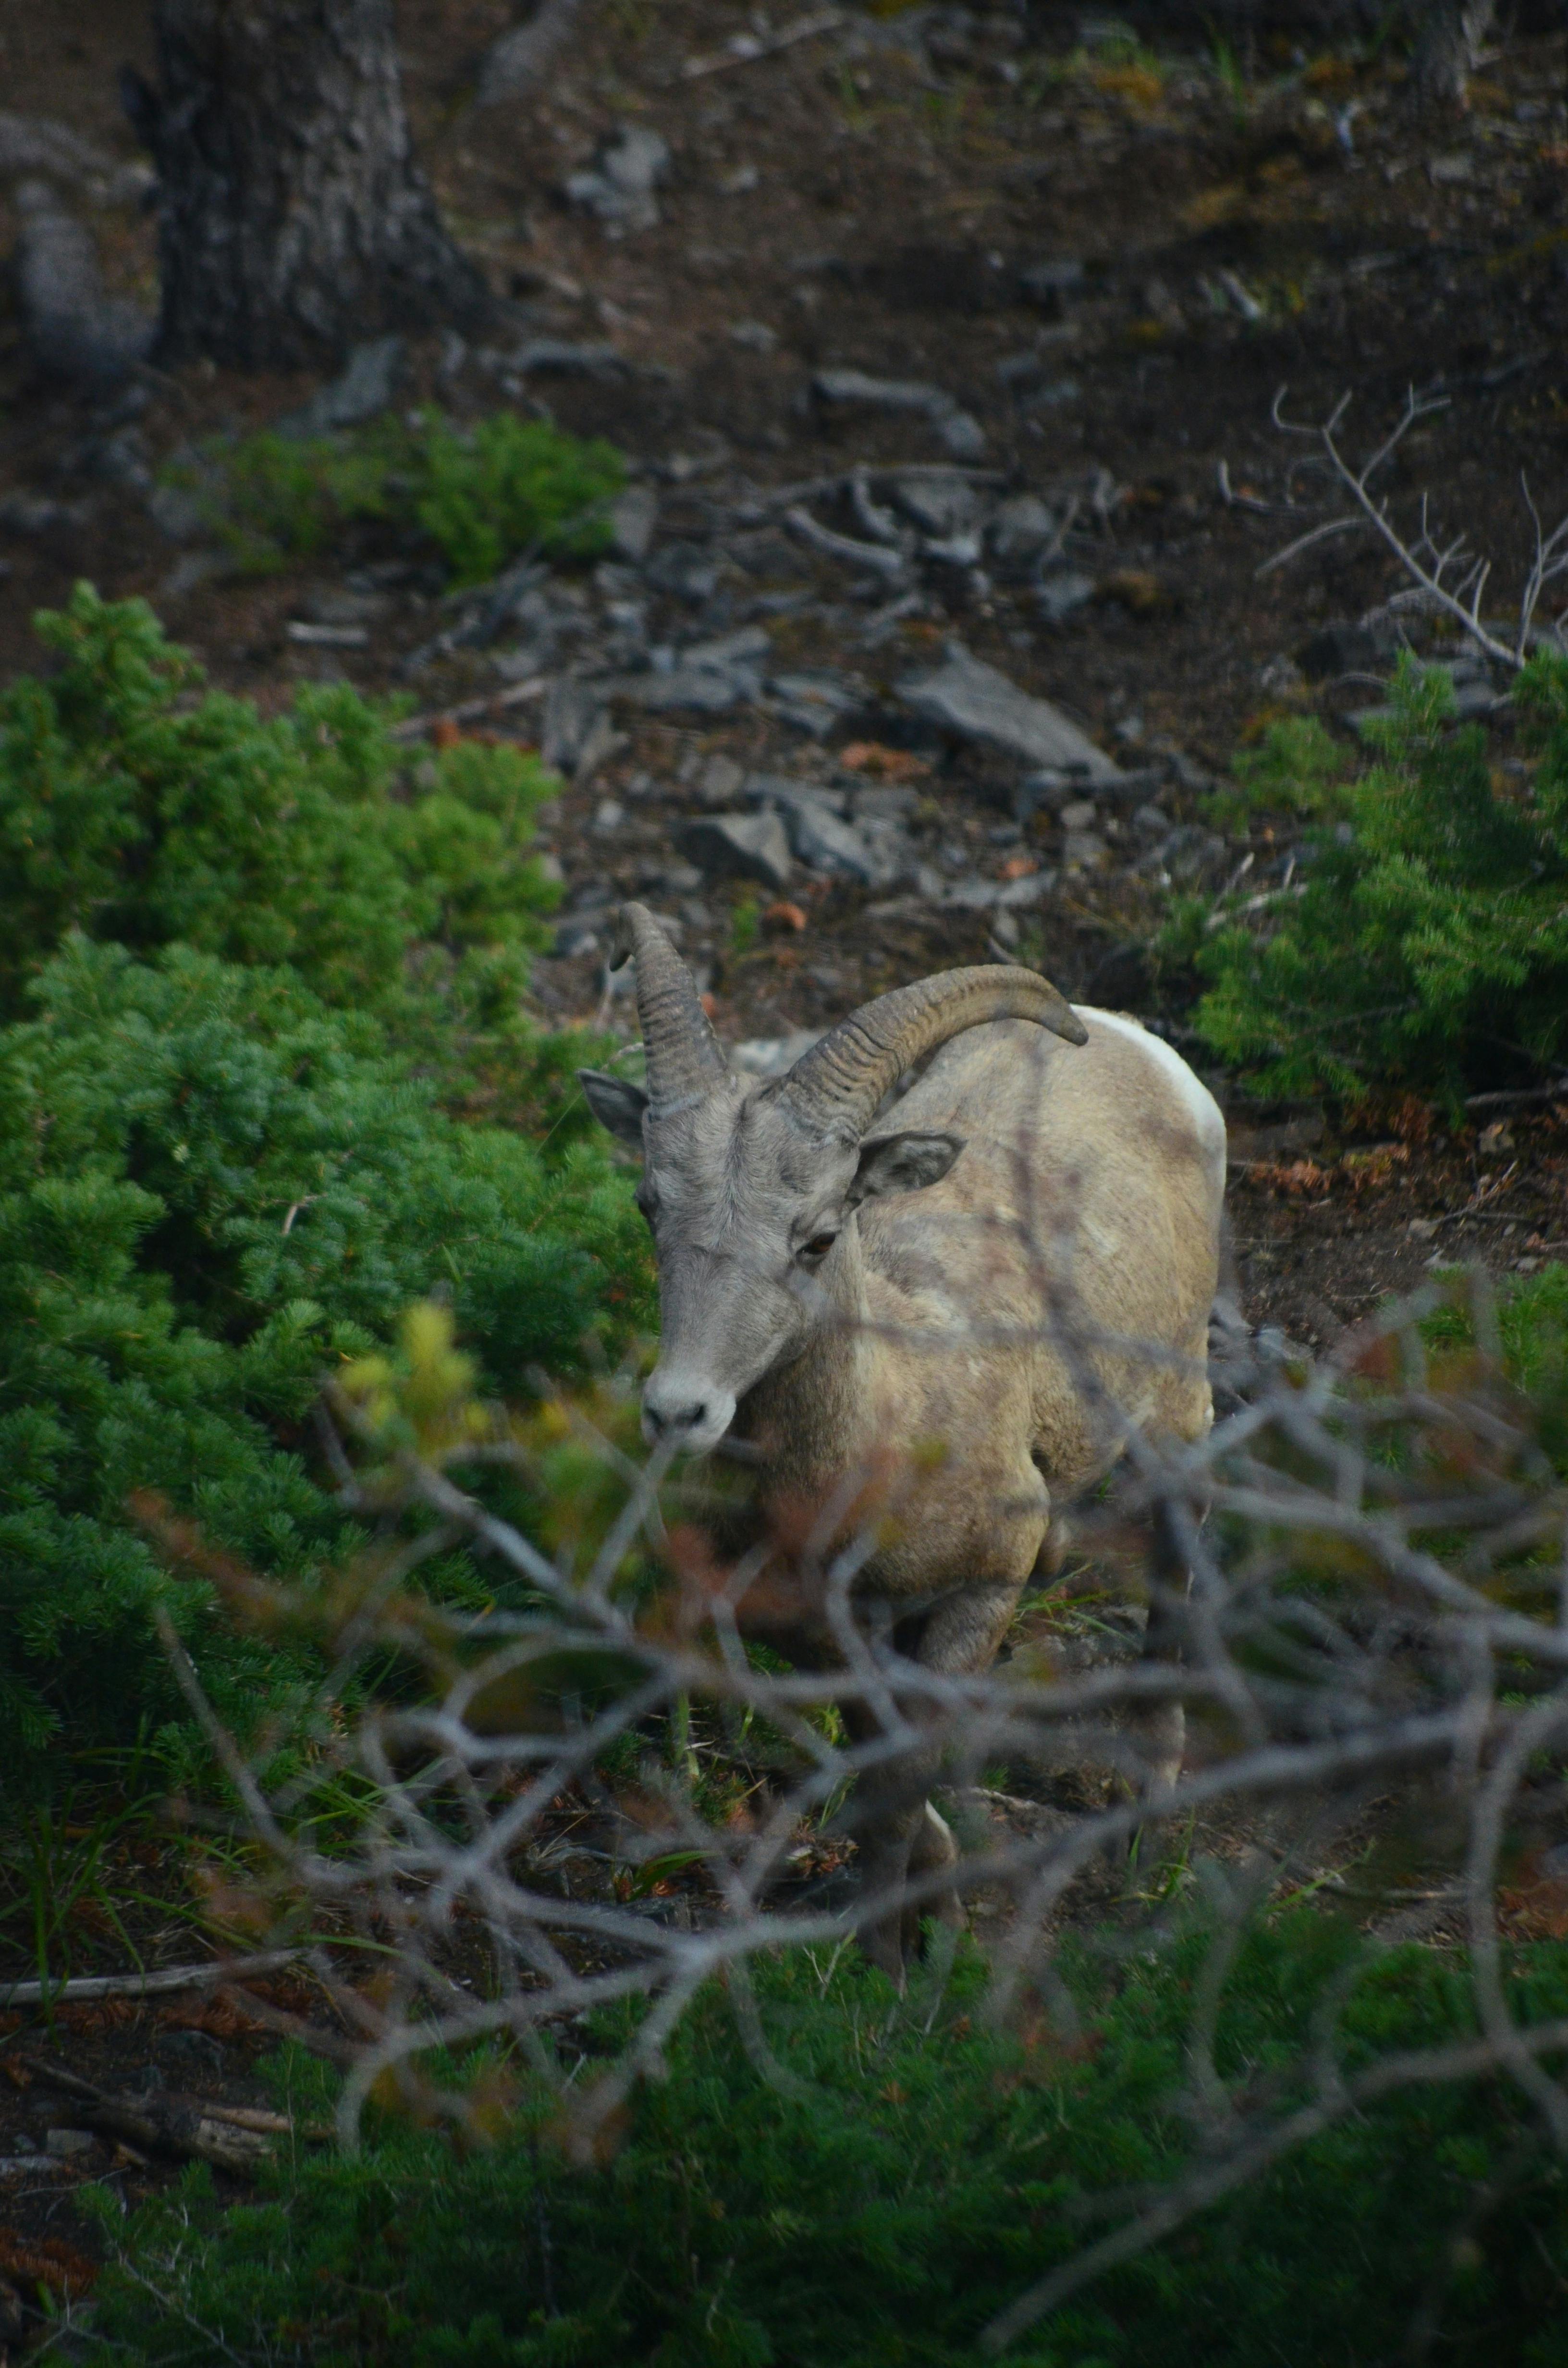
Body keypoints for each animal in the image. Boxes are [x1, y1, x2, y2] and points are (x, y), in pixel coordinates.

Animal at [581, 904, 1226, 1975]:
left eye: (814, 1237)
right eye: (649, 1206)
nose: (679, 1411)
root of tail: (1132, 1045)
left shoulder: (976, 1594)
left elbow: (903, 1785)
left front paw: (909, 1960)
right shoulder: (836, 1638)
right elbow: (889, 1788)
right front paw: (904, 1931)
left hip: (1176, 1414)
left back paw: (1144, 1823)